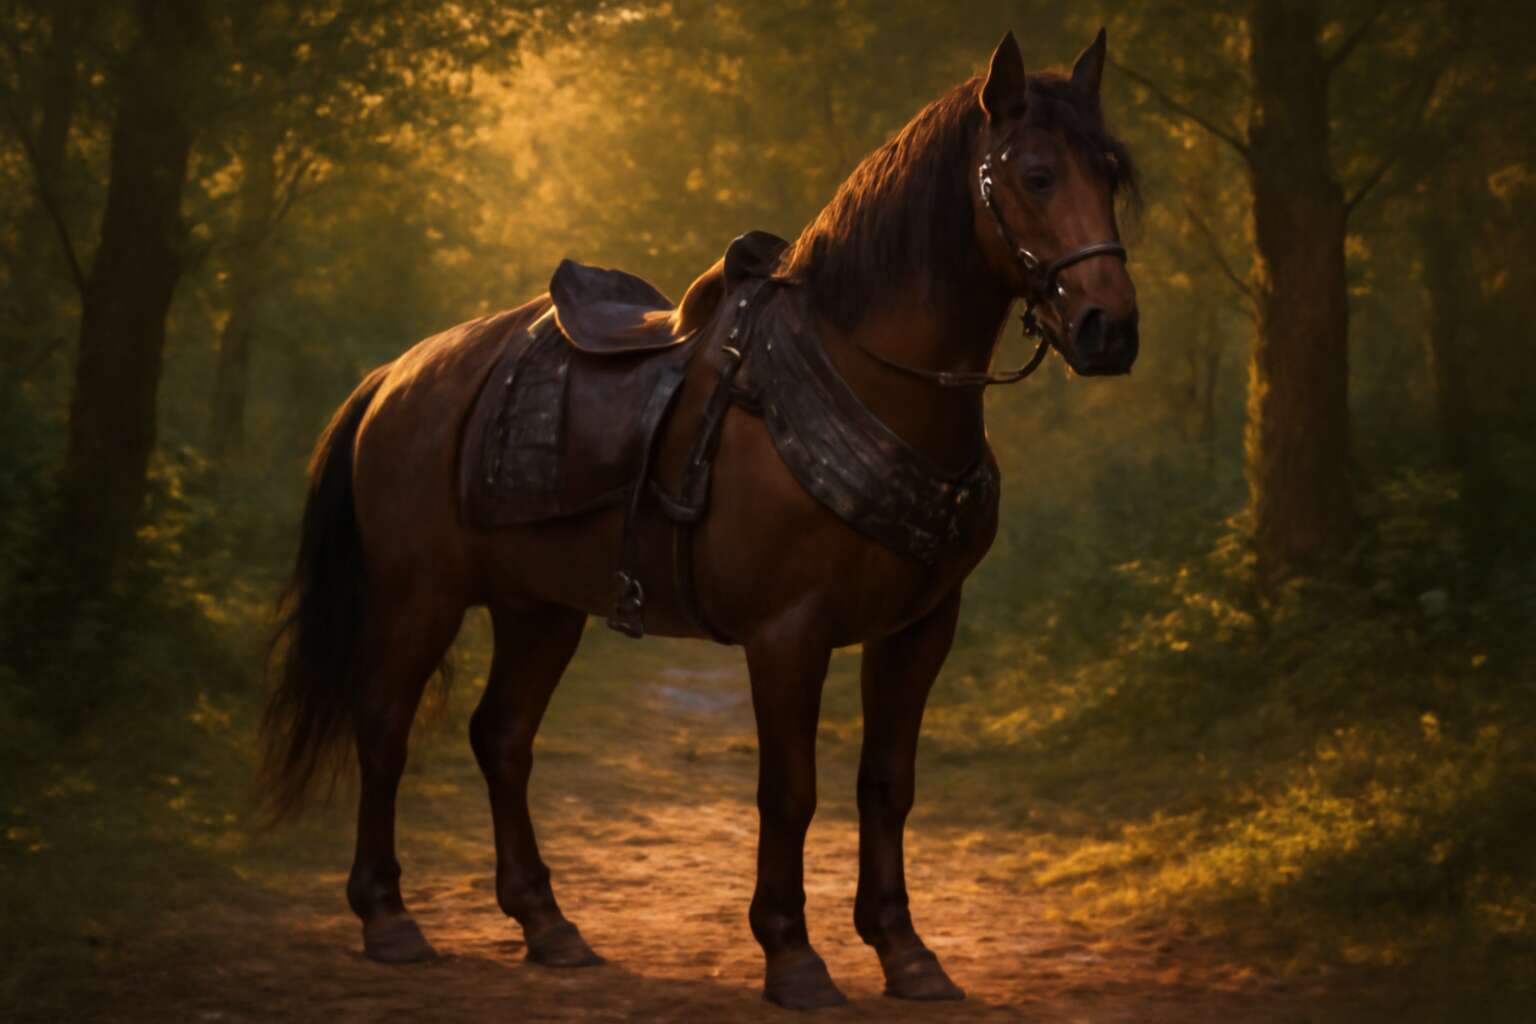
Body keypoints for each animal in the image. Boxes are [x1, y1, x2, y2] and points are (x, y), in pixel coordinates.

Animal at [262, 28, 1140, 1010]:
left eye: (1110, 173)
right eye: (1035, 175)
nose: (1110, 330)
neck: (868, 375)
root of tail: (401, 374)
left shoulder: (919, 630)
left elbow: (887, 785)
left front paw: (906, 952)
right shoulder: (787, 635)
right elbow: (790, 792)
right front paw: (793, 957)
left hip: (539, 609)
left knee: (503, 738)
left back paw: (547, 924)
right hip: (422, 595)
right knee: (384, 724)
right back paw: (388, 918)